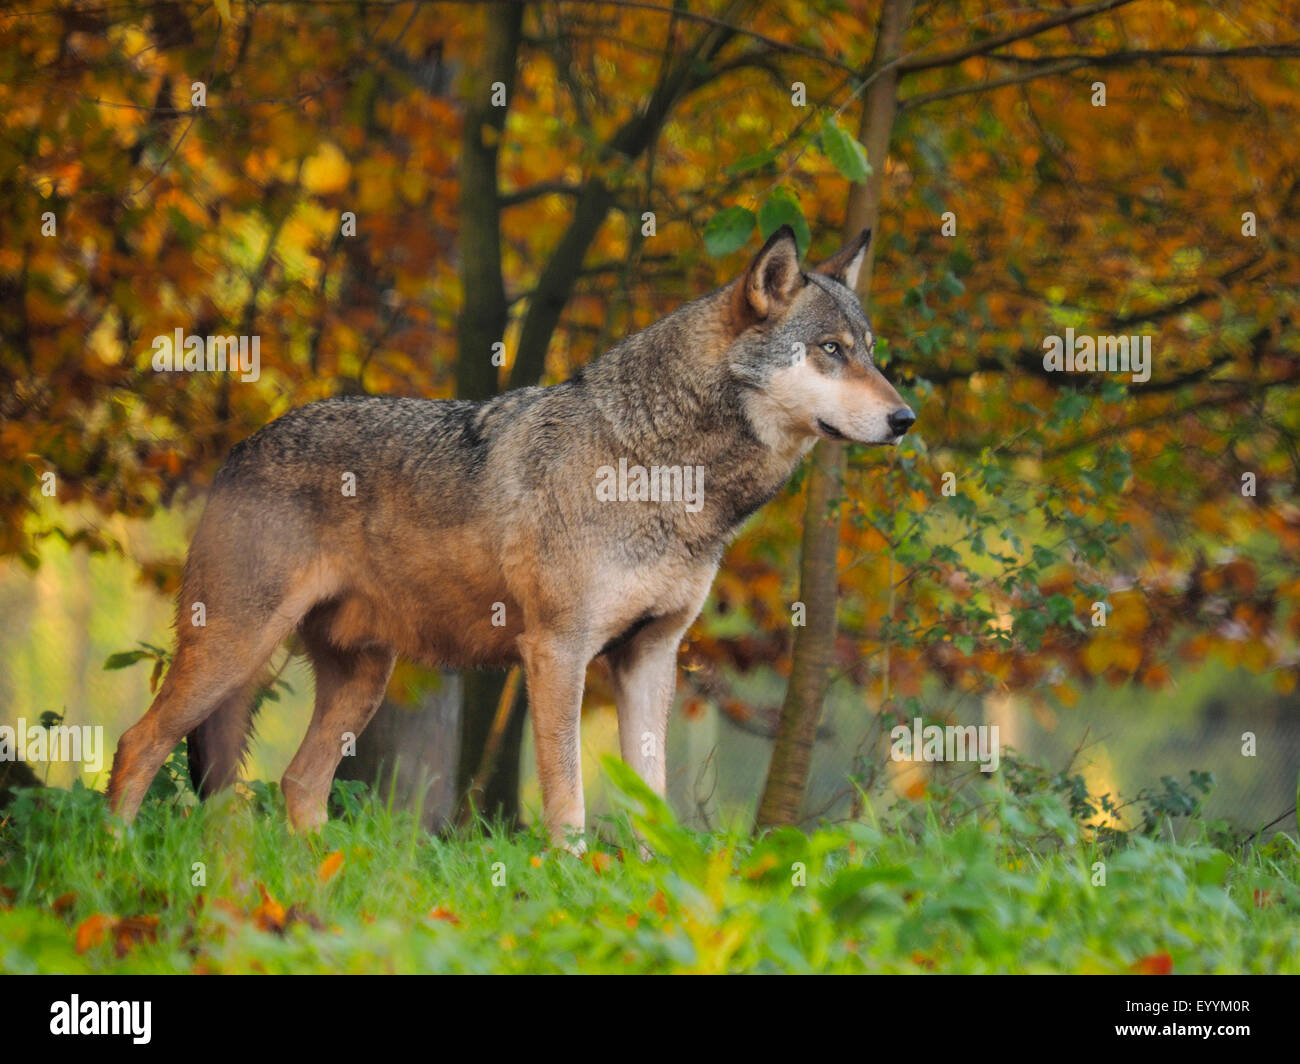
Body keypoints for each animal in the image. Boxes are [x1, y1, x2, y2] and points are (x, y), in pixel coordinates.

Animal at [106, 225, 915, 849]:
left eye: (872, 351)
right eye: (830, 350)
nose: (905, 418)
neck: (659, 468)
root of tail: (238, 449)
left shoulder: (650, 656)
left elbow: (651, 802)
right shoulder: (557, 650)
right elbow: (569, 801)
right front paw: (569, 878)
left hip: (360, 680)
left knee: (298, 784)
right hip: (235, 649)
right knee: (137, 745)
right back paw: (114, 857)